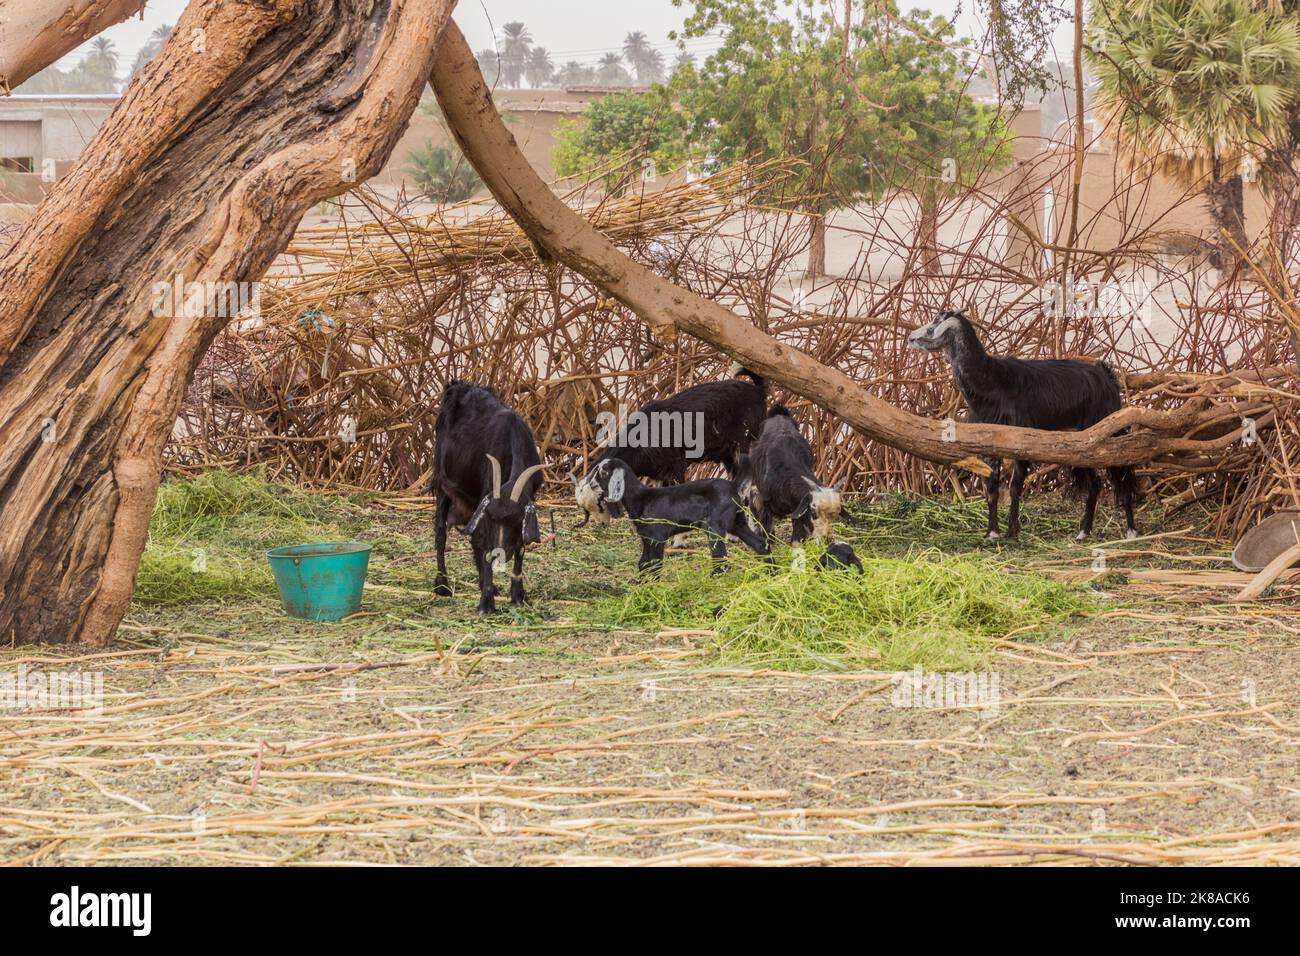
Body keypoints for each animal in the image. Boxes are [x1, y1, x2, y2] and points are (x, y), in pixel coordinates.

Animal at [431, 382, 547, 614]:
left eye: (517, 521)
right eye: (493, 519)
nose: (499, 553)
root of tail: (458, 386)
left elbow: (520, 546)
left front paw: (518, 595)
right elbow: (483, 544)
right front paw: (486, 604)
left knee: (473, 539)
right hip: (442, 485)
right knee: (441, 534)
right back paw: (442, 586)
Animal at [574, 368, 767, 525]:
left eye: (600, 500)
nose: (602, 524)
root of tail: (757, 391)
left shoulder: (675, 465)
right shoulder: (660, 473)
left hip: (745, 444)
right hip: (728, 454)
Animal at [580, 457, 772, 572]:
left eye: (603, 471)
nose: (591, 484)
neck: (640, 497)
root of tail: (733, 486)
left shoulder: (657, 537)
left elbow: (655, 564)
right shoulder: (646, 538)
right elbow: (644, 563)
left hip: (715, 527)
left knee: (720, 557)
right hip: (737, 523)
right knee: (760, 544)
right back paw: (771, 572)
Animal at [734, 407, 843, 545]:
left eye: (834, 515)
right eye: (814, 513)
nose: (826, 538)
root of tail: (779, 414)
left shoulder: (798, 508)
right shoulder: (759, 497)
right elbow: (764, 524)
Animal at [907, 310, 1138, 541]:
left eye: (933, 326)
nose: (910, 339)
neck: (992, 382)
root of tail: (1106, 376)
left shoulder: (1023, 444)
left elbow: (1014, 488)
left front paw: (1011, 534)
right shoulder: (990, 445)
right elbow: (992, 489)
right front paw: (992, 533)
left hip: (1111, 434)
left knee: (1123, 476)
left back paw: (1131, 531)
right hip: (1083, 446)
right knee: (1095, 484)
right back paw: (1083, 532)